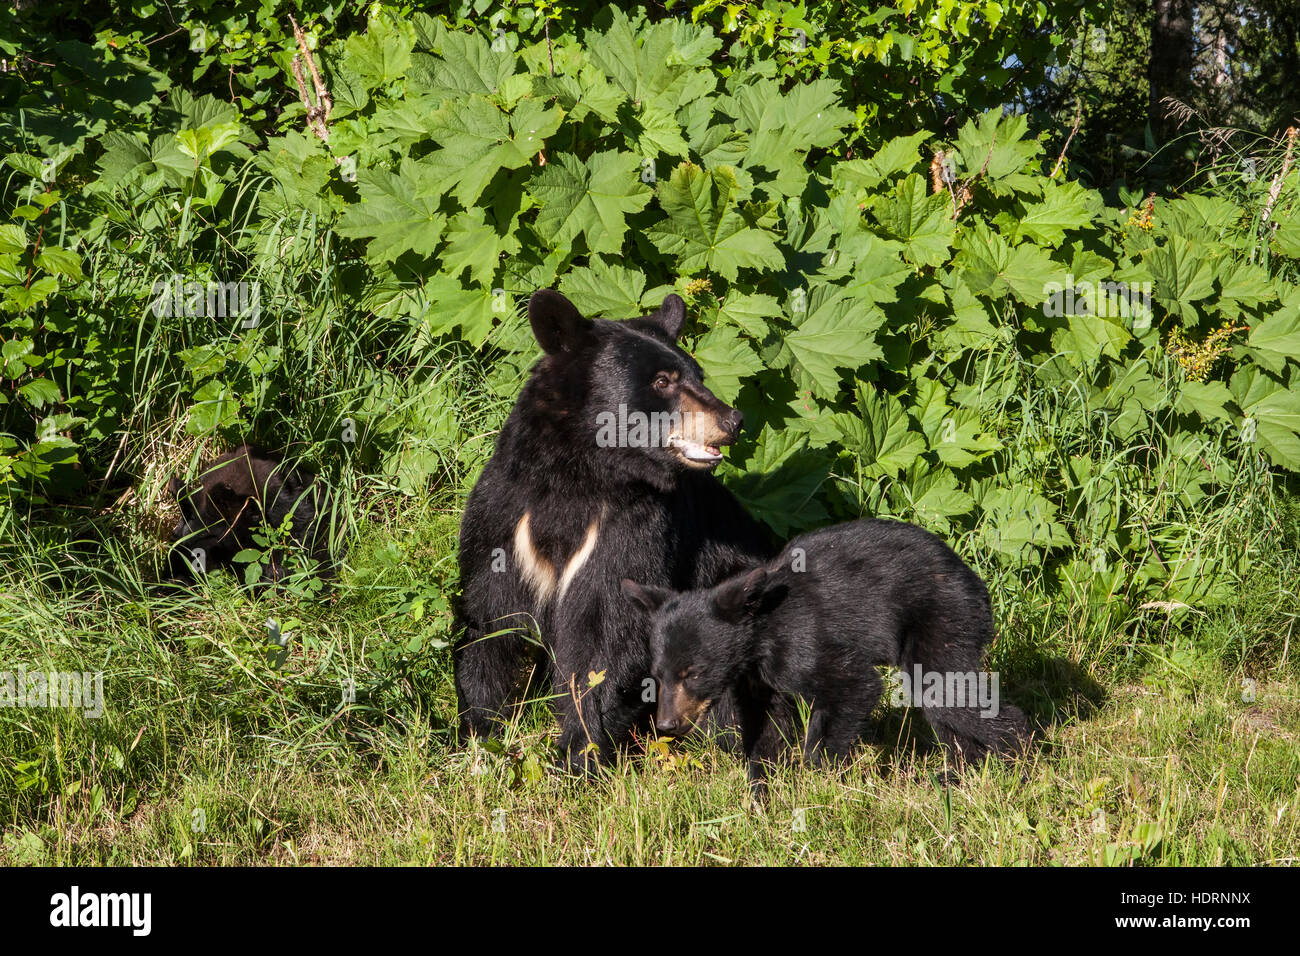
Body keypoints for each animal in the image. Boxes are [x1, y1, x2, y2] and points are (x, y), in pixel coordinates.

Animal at [454, 289, 792, 774]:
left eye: (699, 374)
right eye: (663, 381)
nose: (732, 420)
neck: (580, 477)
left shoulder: (633, 526)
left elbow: (608, 633)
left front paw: (578, 755)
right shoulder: (508, 512)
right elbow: (489, 613)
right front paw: (479, 734)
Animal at [621, 518, 1032, 798]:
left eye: (693, 672)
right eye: (658, 674)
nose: (667, 723)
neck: (758, 641)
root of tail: (976, 582)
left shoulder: (804, 643)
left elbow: (855, 687)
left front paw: (818, 778)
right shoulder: (758, 680)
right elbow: (765, 727)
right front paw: (760, 792)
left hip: (942, 617)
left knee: (948, 694)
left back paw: (1017, 757)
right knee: (943, 707)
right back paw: (955, 773)